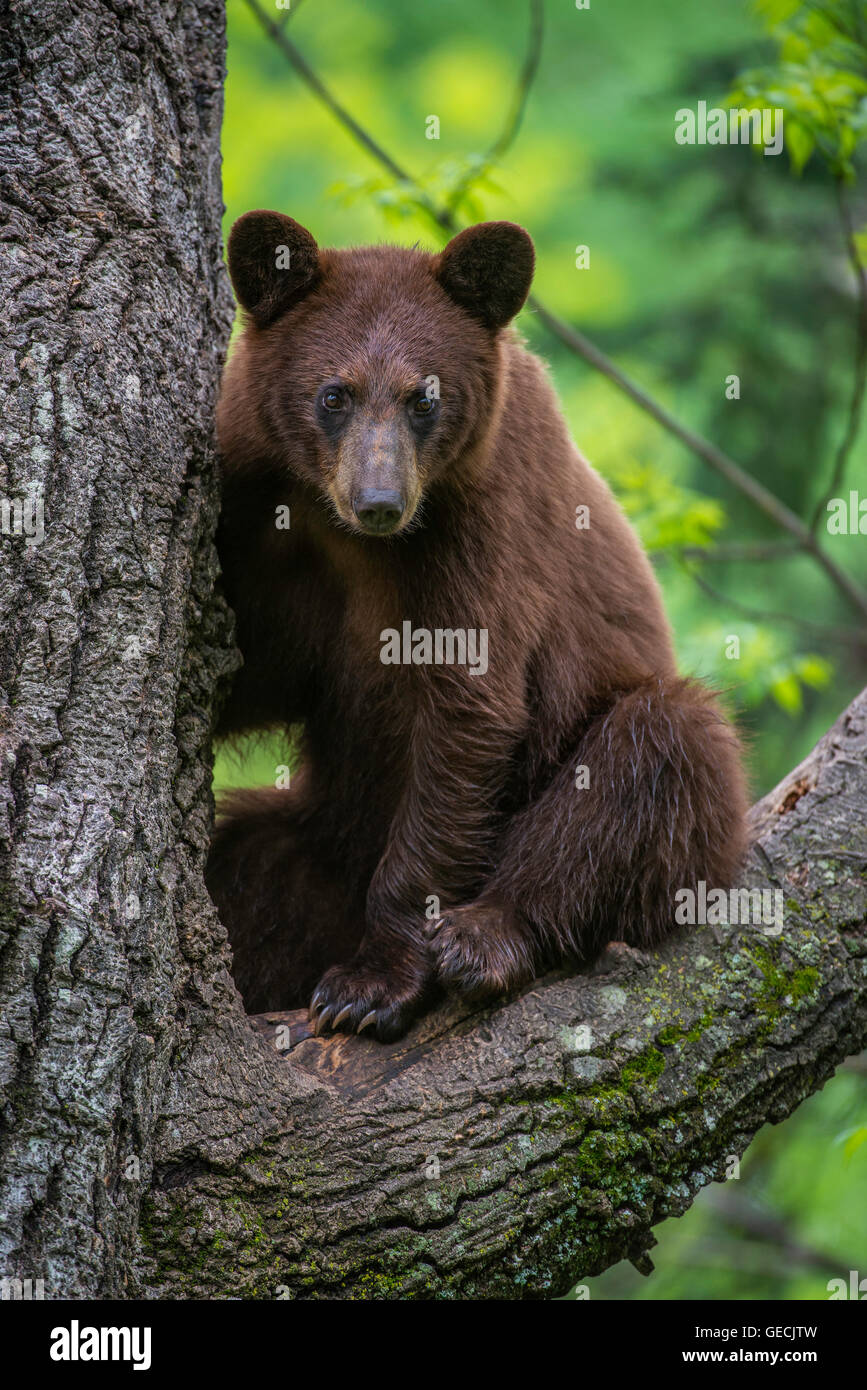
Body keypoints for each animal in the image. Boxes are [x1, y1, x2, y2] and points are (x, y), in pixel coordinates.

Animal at [206, 210, 749, 1042]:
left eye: (422, 397)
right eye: (333, 394)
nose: (378, 501)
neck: (349, 541)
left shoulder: (482, 533)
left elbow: (466, 711)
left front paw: (369, 985)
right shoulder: (268, 527)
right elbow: (251, 672)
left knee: (657, 749)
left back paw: (483, 935)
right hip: (318, 839)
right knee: (244, 860)